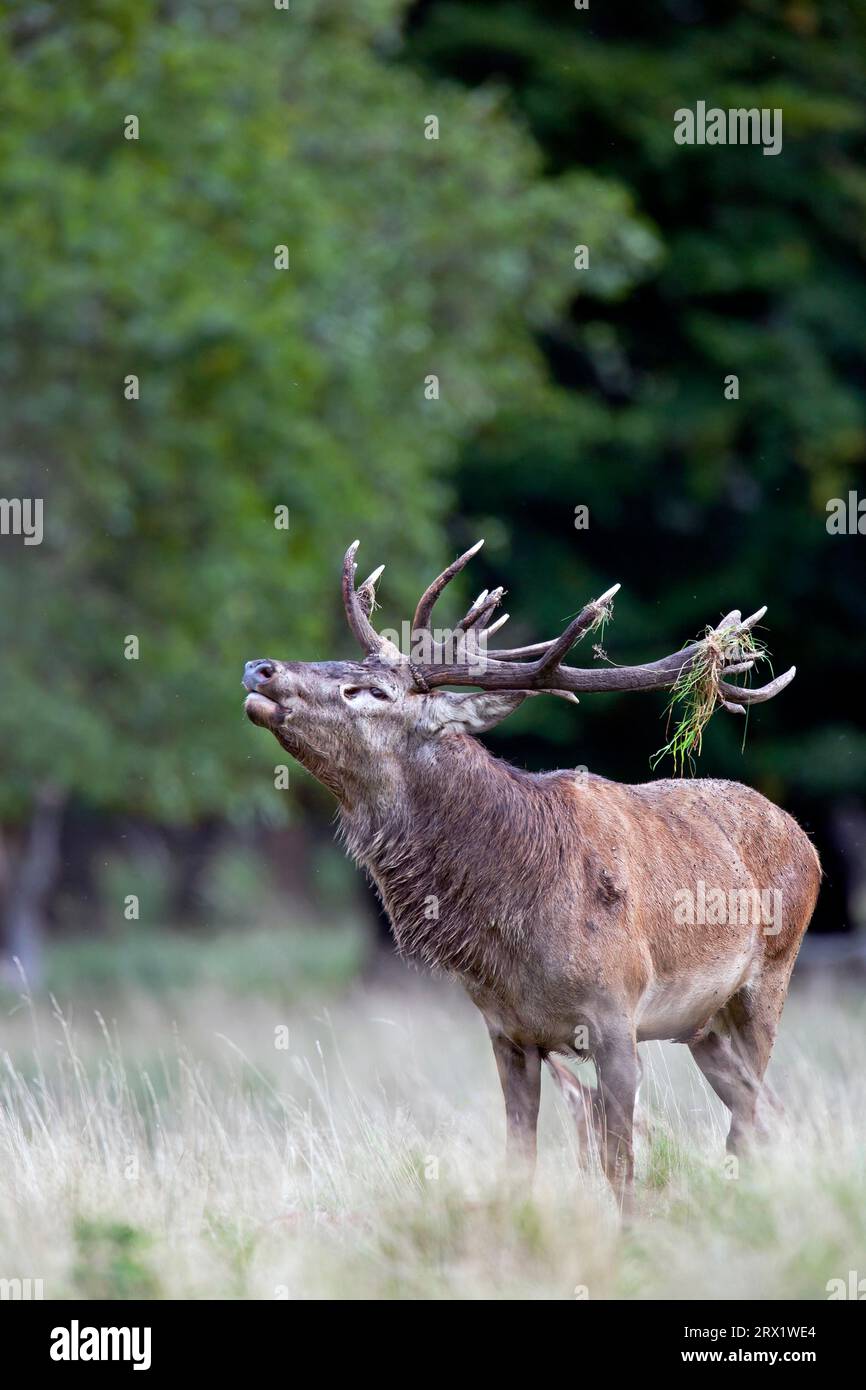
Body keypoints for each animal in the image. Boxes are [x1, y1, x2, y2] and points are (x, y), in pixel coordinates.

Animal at [242, 541, 820, 1205]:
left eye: (372, 692)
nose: (259, 668)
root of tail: (806, 839)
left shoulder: (616, 1018)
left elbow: (620, 1169)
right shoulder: (507, 1033)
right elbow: (519, 1162)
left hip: (769, 977)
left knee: (749, 1118)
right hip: (702, 1026)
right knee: (761, 1112)